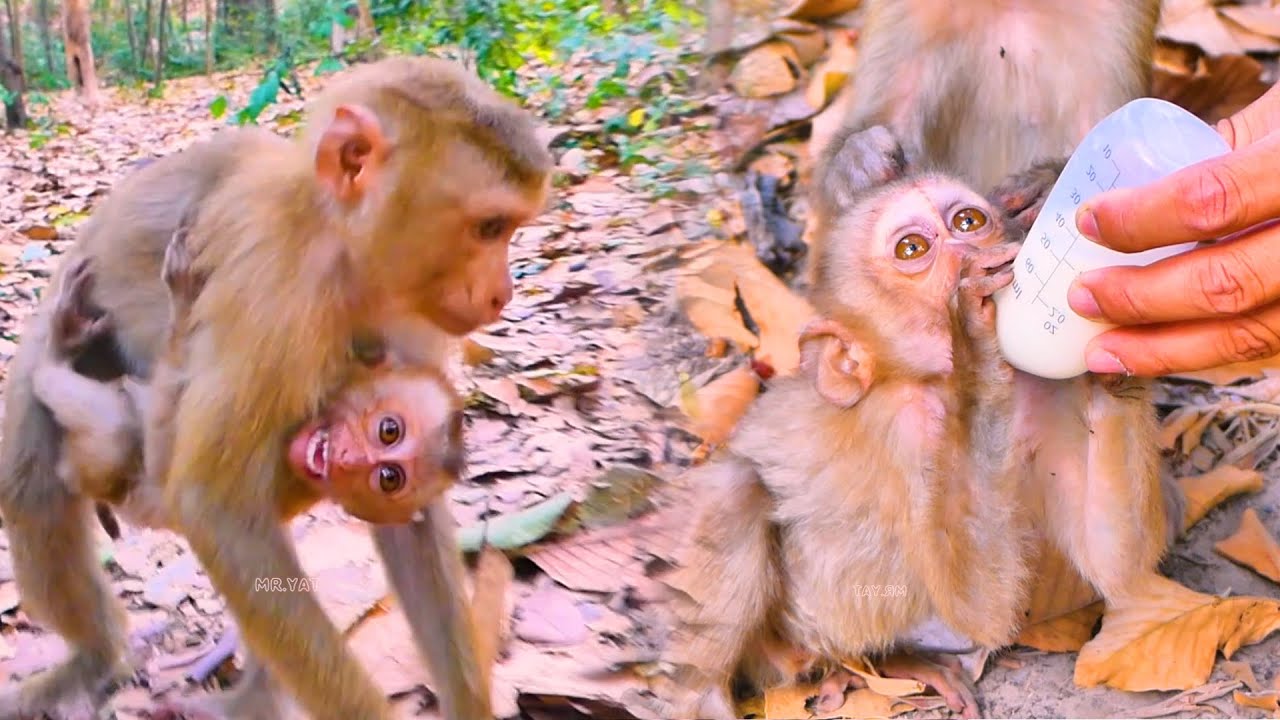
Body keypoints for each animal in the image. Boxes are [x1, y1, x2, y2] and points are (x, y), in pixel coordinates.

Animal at [0, 56, 552, 720]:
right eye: (489, 227)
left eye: (508, 229)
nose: (502, 294)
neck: (334, 237)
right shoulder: (273, 284)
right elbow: (218, 509)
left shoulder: (411, 312)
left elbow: (410, 519)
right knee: (32, 488)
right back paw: (94, 659)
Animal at [660, 138, 1032, 720]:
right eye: (912, 249)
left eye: (968, 221)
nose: (966, 253)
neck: (903, 379)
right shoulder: (909, 422)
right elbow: (978, 607)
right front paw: (974, 327)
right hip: (779, 647)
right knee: (737, 487)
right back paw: (707, 696)